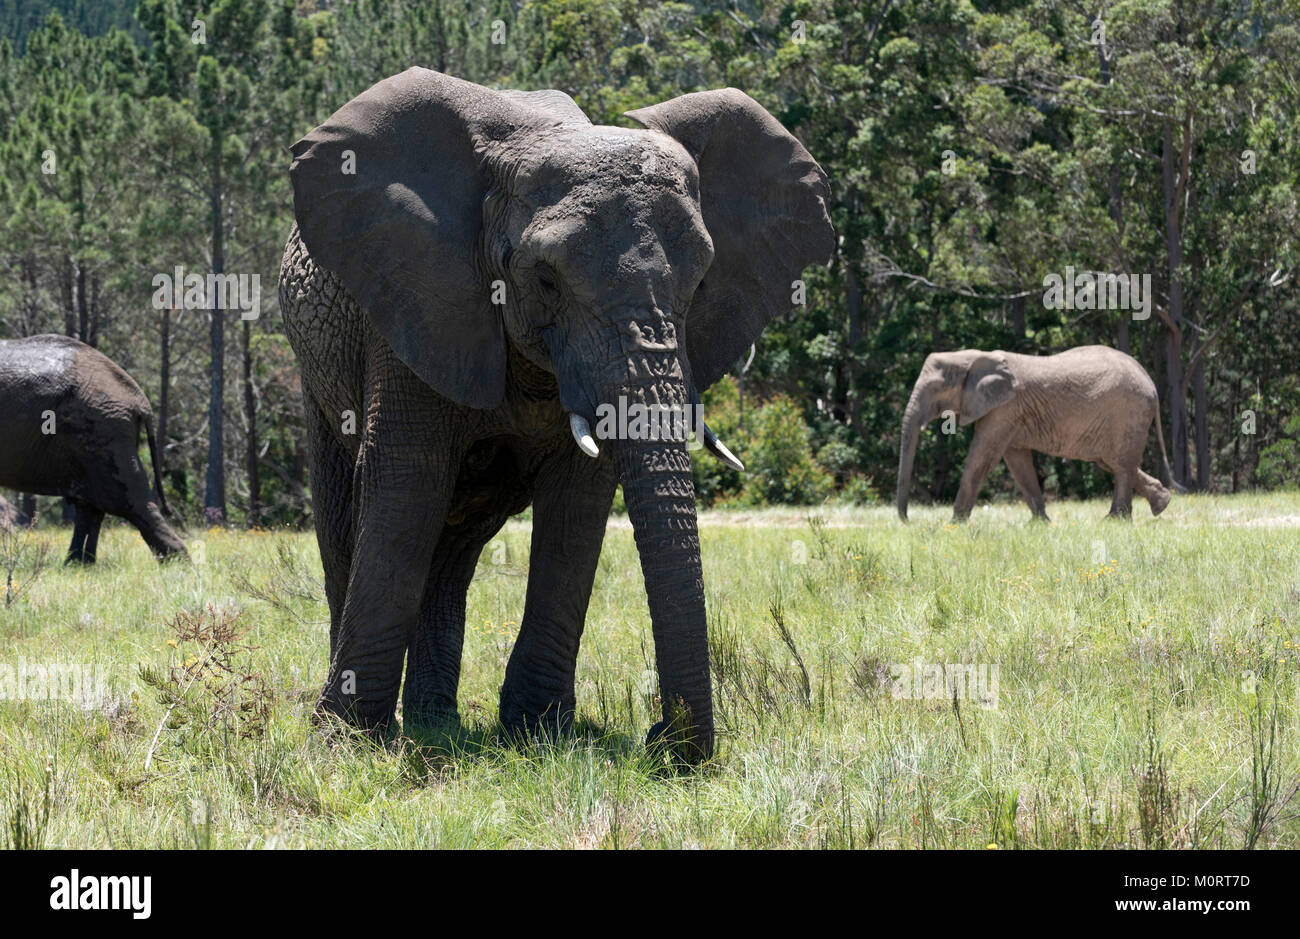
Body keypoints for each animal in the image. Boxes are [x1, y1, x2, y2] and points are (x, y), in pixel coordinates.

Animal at [0, 334, 187, 563]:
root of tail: (139, 399)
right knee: (91, 507)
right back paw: (77, 565)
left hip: (102, 431)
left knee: (131, 503)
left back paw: (178, 563)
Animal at [279, 68, 834, 761]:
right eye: (545, 280)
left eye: (702, 281)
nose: (659, 738)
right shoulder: (414, 298)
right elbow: (407, 484)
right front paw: (349, 744)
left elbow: (578, 504)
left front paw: (539, 730)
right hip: (316, 367)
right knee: (348, 523)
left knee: (454, 549)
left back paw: (438, 724)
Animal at [896, 345, 1176, 522]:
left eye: (935, 389)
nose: (908, 520)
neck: (973, 357)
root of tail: (1150, 381)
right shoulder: (1006, 413)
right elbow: (1017, 461)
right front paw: (1041, 523)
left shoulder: (1004, 409)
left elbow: (982, 457)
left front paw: (954, 524)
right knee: (1113, 462)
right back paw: (1161, 505)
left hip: (1128, 412)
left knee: (1120, 465)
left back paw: (1115, 521)